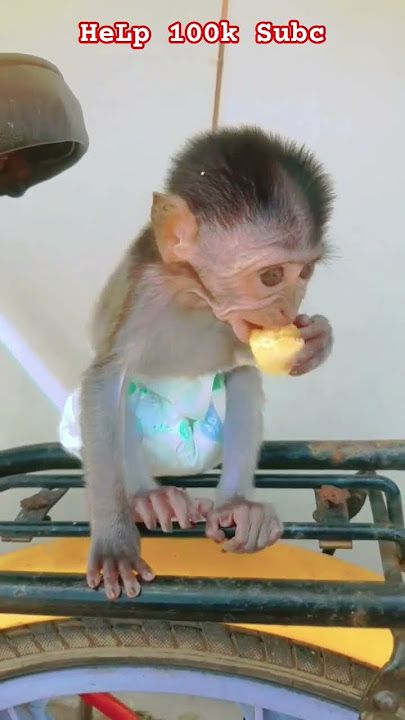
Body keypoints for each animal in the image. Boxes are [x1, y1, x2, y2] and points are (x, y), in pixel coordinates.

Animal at [59, 125, 335, 600]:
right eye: (271, 277)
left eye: (306, 273)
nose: (287, 309)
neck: (194, 291)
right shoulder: (147, 292)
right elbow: (104, 381)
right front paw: (114, 542)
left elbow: (246, 362)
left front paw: (317, 338)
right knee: (116, 395)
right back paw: (149, 497)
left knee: (243, 379)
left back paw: (237, 507)